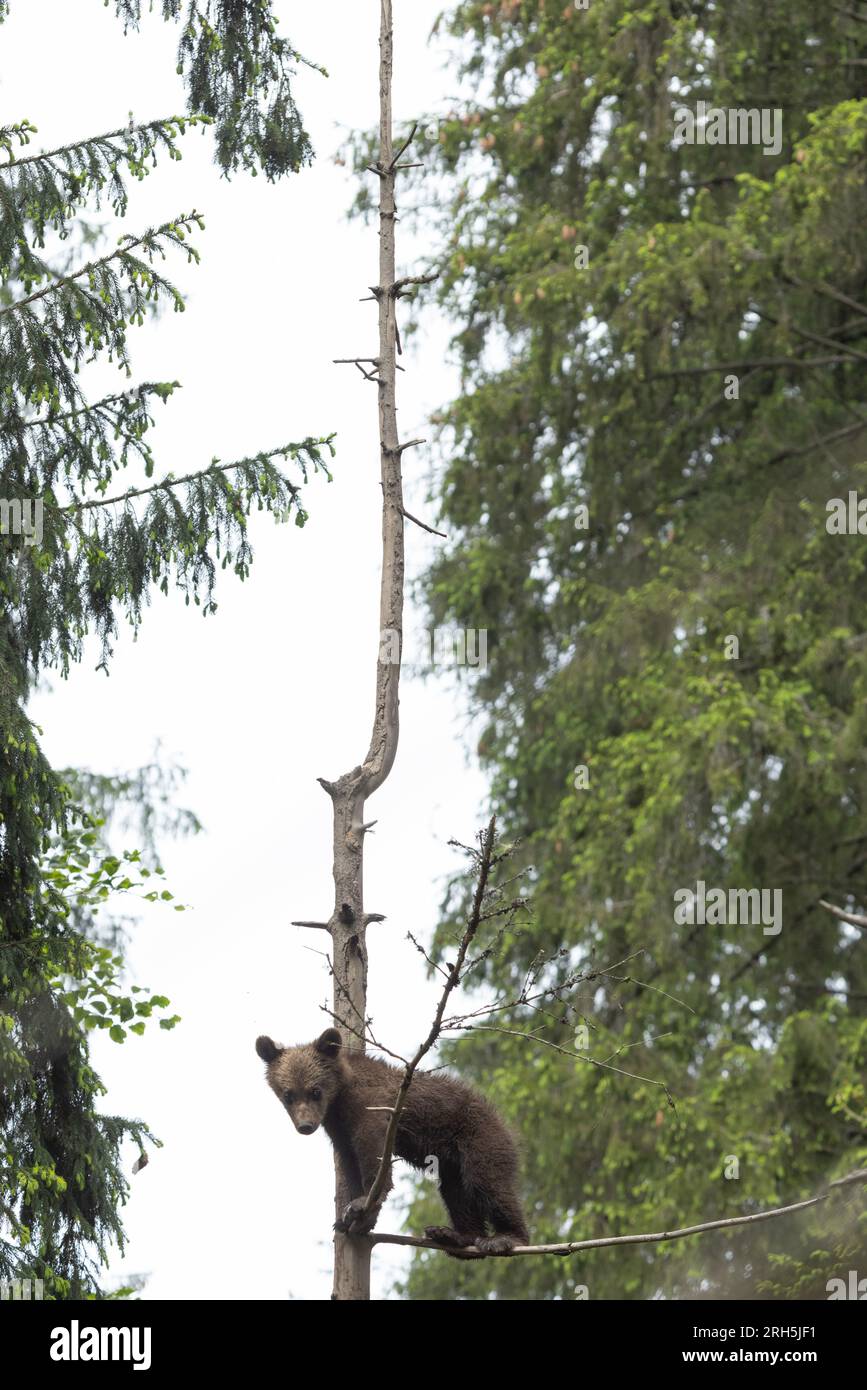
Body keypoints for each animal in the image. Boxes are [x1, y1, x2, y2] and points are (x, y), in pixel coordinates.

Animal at [255, 1027, 529, 1256]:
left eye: (315, 1090)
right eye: (288, 1094)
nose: (305, 1125)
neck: (338, 1100)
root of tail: (503, 1120)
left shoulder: (369, 1107)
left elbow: (372, 1150)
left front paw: (361, 1203)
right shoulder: (339, 1130)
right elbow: (349, 1161)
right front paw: (347, 1216)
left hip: (479, 1137)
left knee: (488, 1182)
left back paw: (505, 1238)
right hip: (452, 1162)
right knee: (455, 1192)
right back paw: (455, 1235)